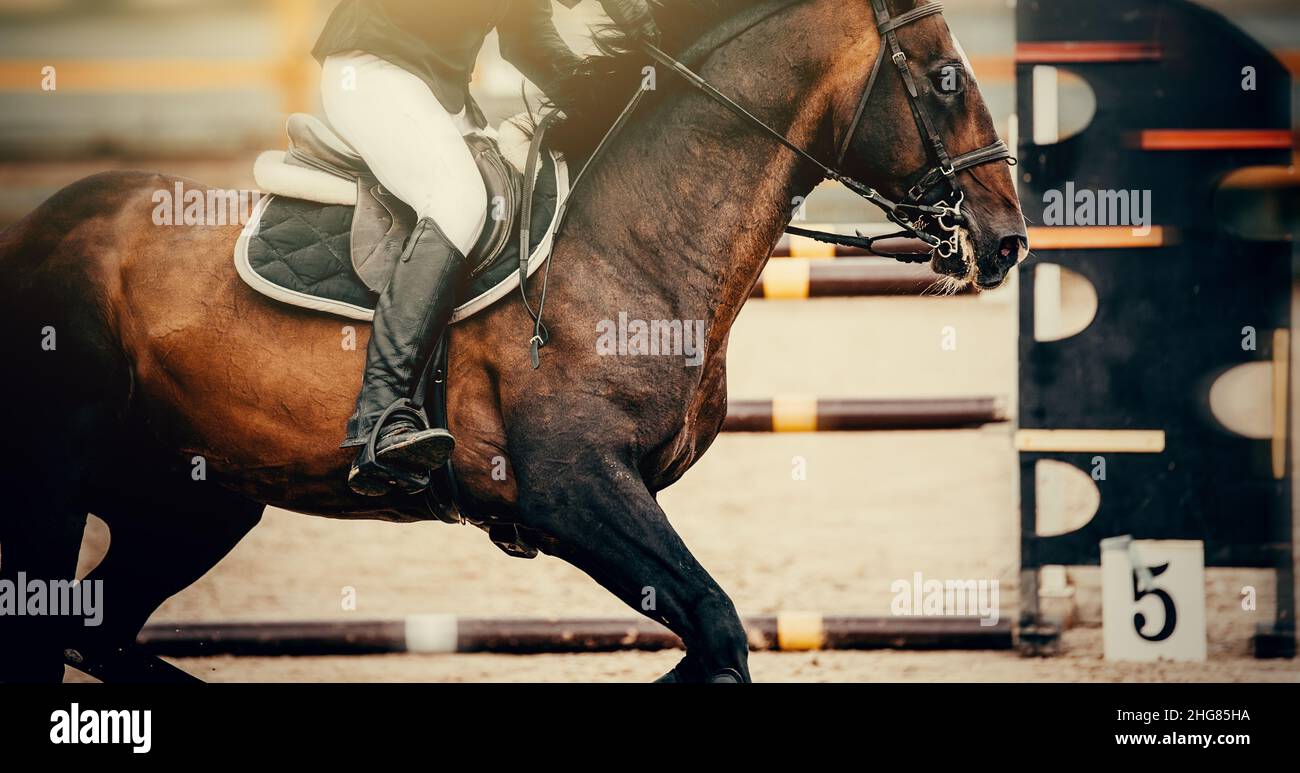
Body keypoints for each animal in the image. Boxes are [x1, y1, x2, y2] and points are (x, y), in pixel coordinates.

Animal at [0, 0, 1026, 683]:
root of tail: (36, 229)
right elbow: (719, 624)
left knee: (95, 632)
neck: (634, 241)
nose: (1007, 237)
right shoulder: (569, 489)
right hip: (54, 487)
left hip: (191, 502)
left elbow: (714, 642)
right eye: (944, 73)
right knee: (48, 628)